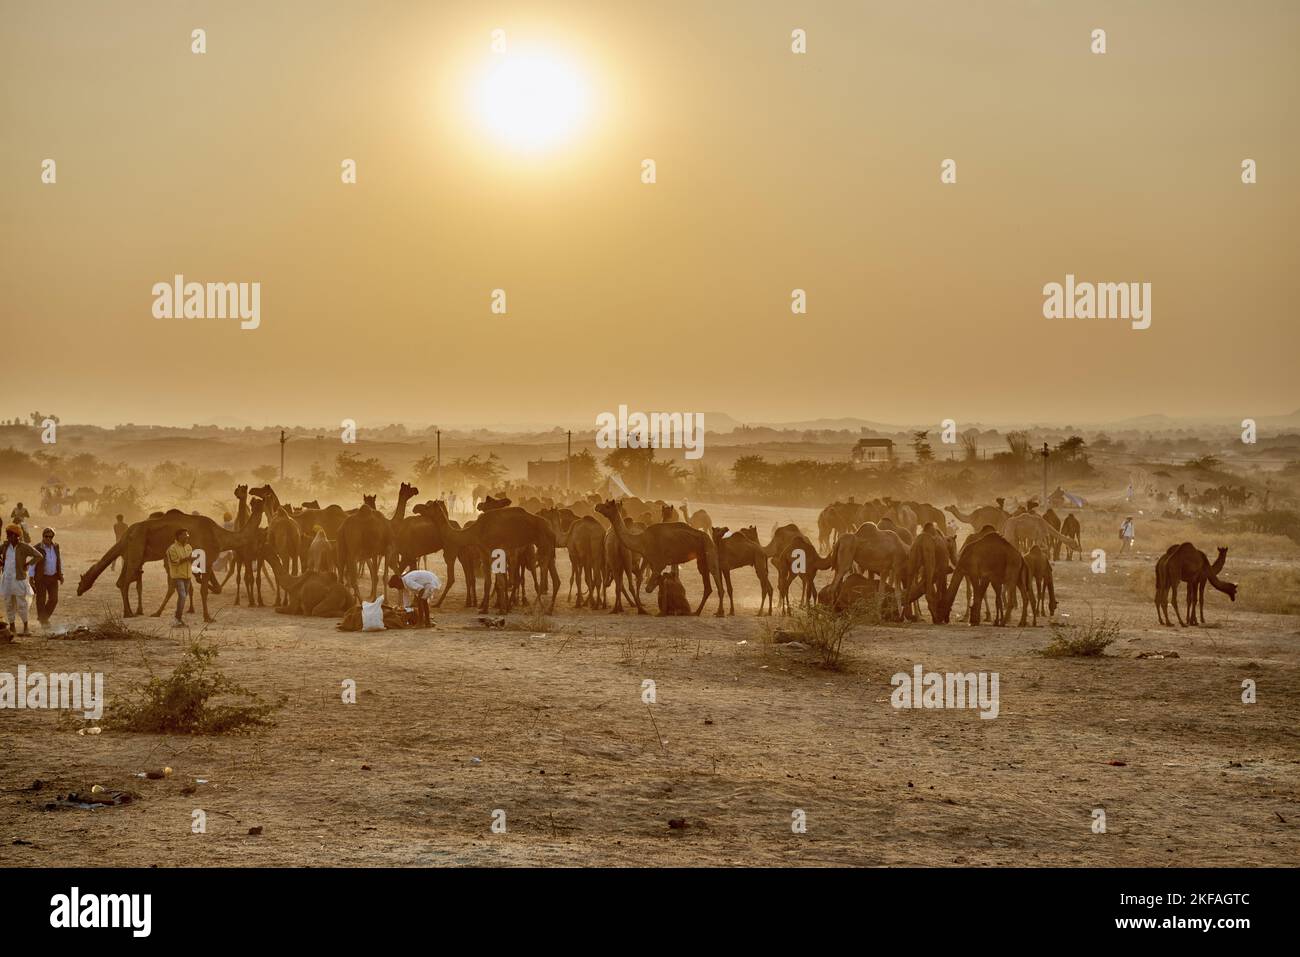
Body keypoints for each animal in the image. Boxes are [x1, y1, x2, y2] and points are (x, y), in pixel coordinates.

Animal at [77, 499, 265, 621]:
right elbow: (202, 589)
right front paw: (207, 616)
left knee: (124, 580)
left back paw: (132, 611)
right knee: (123, 582)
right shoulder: (208, 559)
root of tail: (128, 532)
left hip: (132, 553)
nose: (78, 590)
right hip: (135, 551)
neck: (220, 536)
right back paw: (129, 612)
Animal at [595, 500, 723, 617]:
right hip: (701, 558)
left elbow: (650, 587)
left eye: (607, 506)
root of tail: (708, 538)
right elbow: (658, 580)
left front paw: (662, 611)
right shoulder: (652, 563)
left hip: (709, 549)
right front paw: (663, 610)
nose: (597, 506)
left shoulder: (659, 563)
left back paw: (720, 612)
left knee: (716, 576)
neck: (641, 540)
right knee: (707, 585)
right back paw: (697, 612)